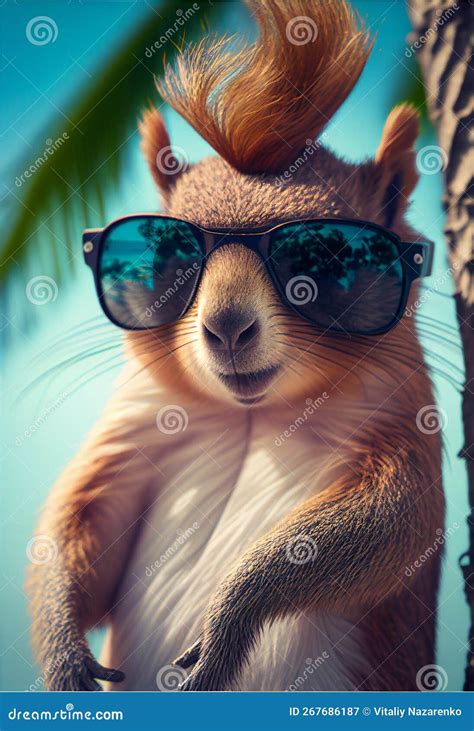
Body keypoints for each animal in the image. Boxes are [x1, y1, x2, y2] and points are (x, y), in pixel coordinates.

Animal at [27, 0, 444, 691]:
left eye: (331, 256)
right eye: (162, 254)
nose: (225, 327)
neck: (254, 415)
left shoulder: (404, 434)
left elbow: (392, 524)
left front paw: (229, 619)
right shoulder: (129, 437)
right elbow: (73, 529)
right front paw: (62, 653)